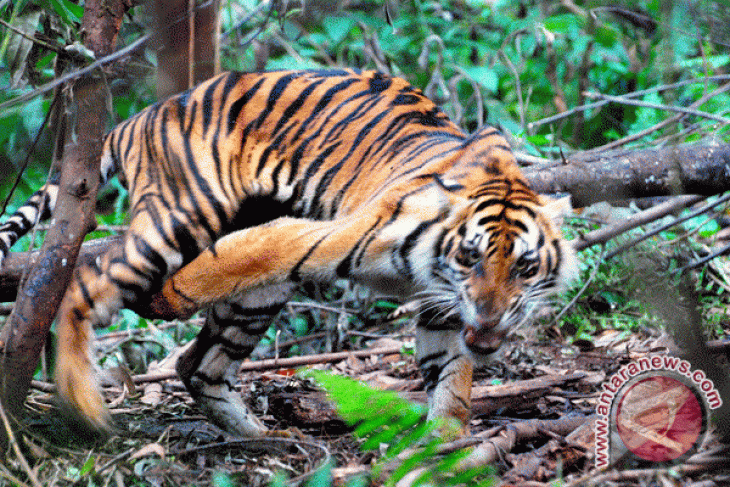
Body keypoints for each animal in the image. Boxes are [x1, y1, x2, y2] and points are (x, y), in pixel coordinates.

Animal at [0, 69, 577, 438]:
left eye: (524, 267)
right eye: (471, 258)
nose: (490, 318)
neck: (435, 271)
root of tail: (139, 116)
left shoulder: (444, 309)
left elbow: (451, 372)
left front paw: (447, 444)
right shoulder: (314, 234)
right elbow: (222, 263)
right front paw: (167, 299)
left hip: (255, 300)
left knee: (197, 365)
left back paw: (260, 437)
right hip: (183, 213)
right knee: (87, 276)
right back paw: (83, 400)